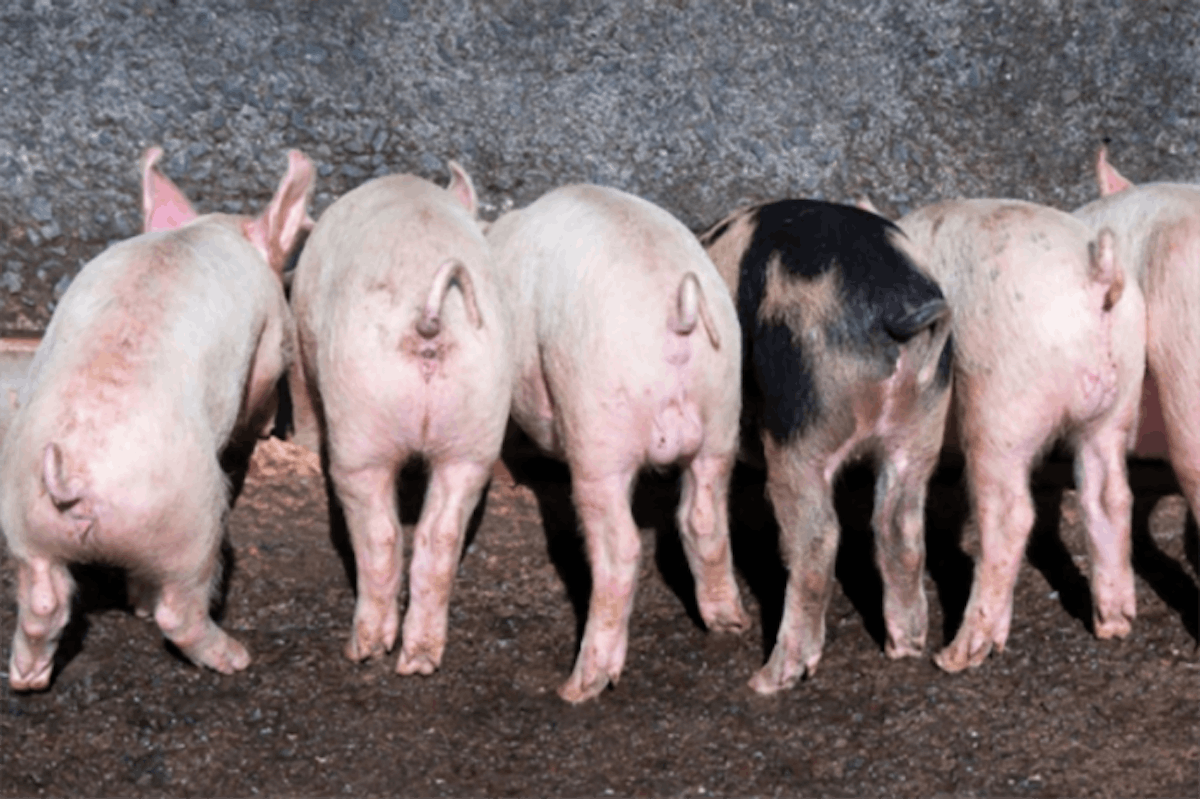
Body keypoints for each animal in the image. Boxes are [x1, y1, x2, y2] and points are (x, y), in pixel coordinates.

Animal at [0, 146, 315, 690]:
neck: (207, 229)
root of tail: (73, 473)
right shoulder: (271, 337)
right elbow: (260, 386)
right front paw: (262, 428)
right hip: (192, 518)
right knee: (178, 609)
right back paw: (234, 657)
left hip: (23, 518)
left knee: (41, 600)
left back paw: (27, 679)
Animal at [288, 163, 512, 676]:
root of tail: (428, 320)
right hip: (477, 420)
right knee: (441, 534)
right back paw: (419, 660)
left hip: (360, 415)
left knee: (380, 531)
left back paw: (364, 649)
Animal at [487, 185, 750, 703]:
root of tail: (678, 314)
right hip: (722, 407)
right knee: (705, 518)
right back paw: (731, 624)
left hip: (598, 424)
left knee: (619, 548)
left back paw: (579, 687)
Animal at [699, 200, 953, 694]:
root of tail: (891, 314)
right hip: (922, 425)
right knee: (901, 526)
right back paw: (905, 647)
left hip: (803, 419)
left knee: (818, 541)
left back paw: (768, 680)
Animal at [890, 199, 1143, 672]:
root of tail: (1096, 274)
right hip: (1117, 401)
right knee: (1110, 494)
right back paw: (1114, 626)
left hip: (1000, 406)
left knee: (1010, 515)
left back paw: (955, 656)